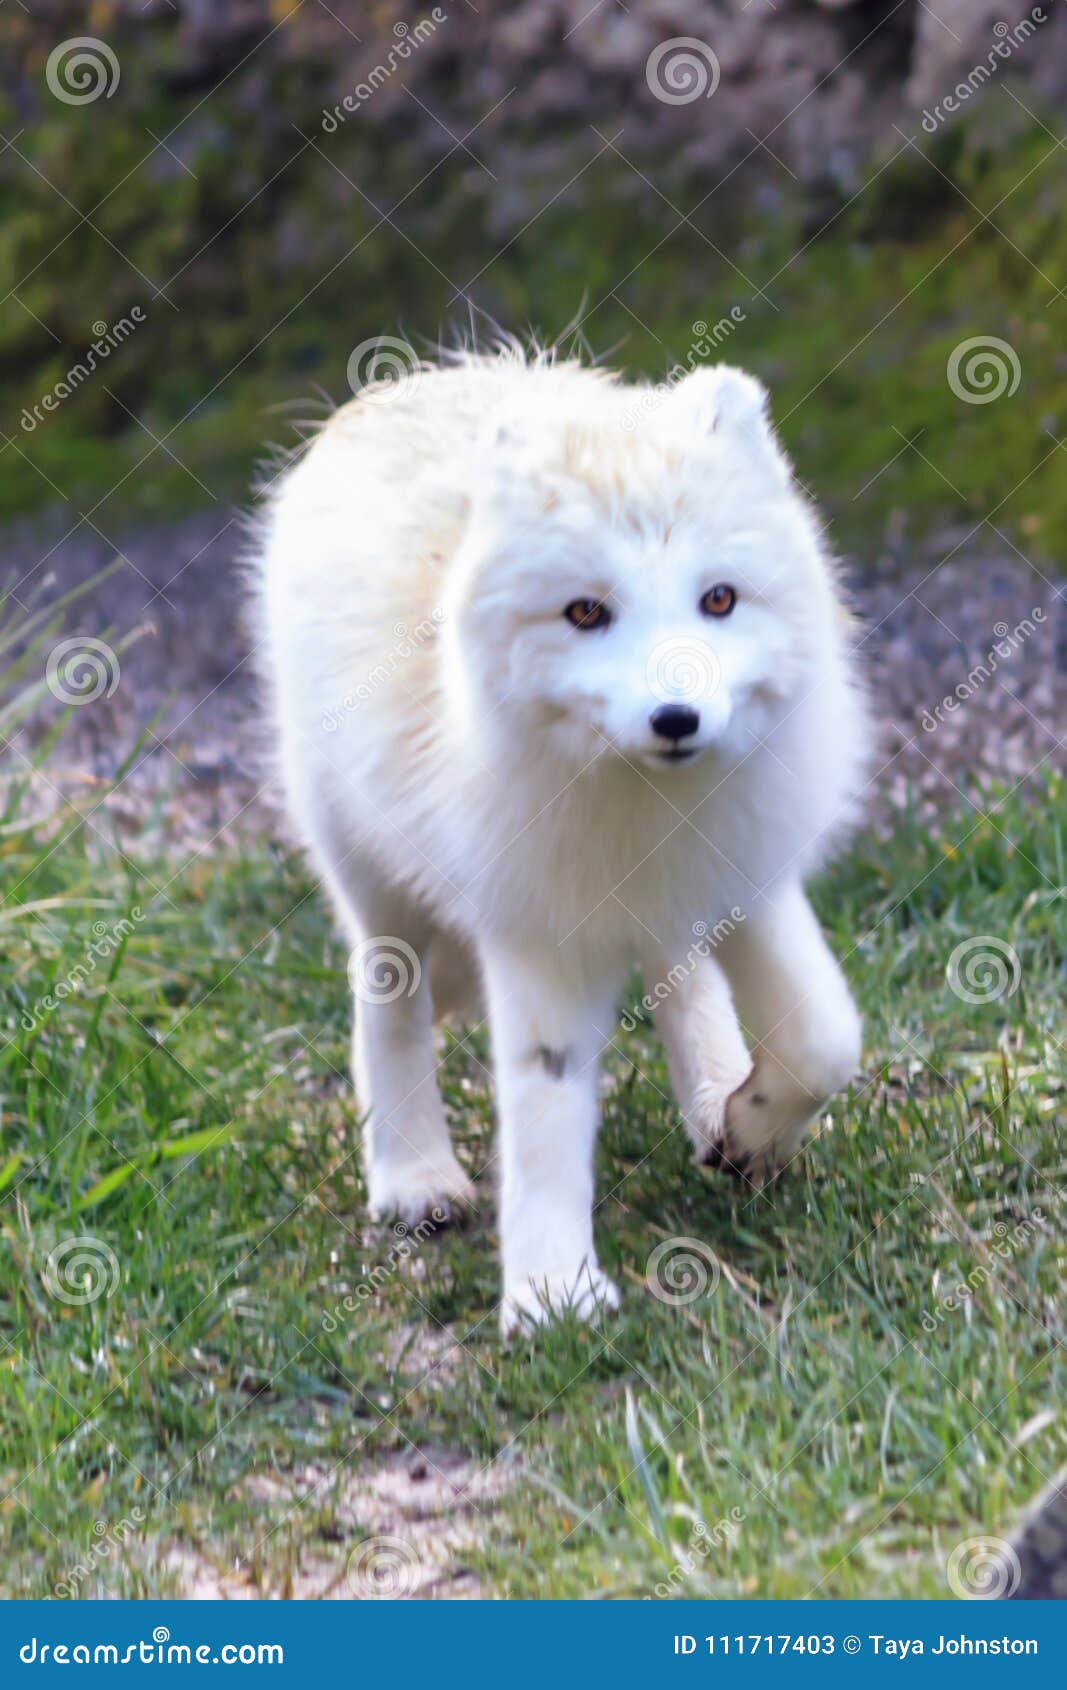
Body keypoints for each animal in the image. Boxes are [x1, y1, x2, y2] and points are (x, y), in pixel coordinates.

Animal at [252, 346, 870, 1332]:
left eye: (719, 599)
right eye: (585, 613)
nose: (676, 718)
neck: (644, 805)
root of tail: (398, 383)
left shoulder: (746, 873)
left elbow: (824, 1037)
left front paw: (748, 1128)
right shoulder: (533, 934)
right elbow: (543, 1112)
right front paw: (552, 1298)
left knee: (685, 981)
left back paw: (713, 1097)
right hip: (367, 872)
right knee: (386, 1003)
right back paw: (412, 1174)